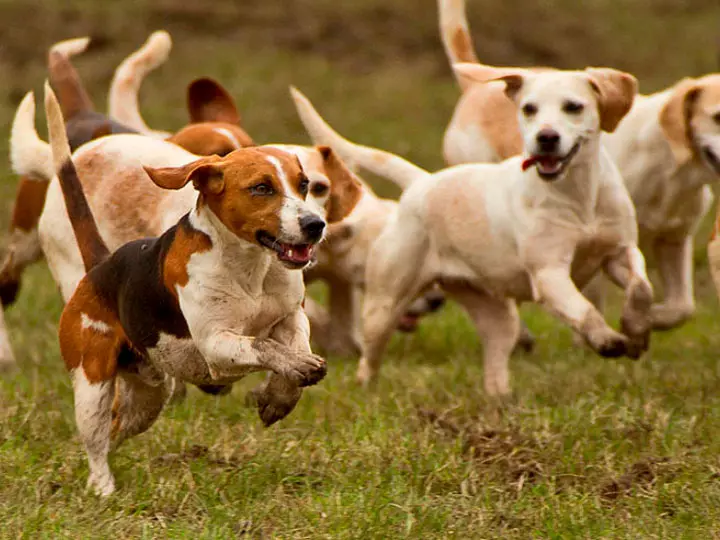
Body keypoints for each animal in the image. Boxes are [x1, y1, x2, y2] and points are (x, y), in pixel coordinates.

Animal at [40, 82, 360, 496]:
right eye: (261, 188)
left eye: (304, 185)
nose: (315, 225)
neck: (250, 267)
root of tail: (101, 266)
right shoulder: (216, 345)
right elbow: (264, 345)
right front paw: (292, 368)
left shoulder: (289, 317)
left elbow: (293, 343)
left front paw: (281, 394)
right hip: (91, 383)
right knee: (96, 444)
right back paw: (103, 489)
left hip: (148, 398)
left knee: (115, 428)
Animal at [296, 64, 652, 392]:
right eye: (529, 109)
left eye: (574, 106)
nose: (546, 138)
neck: (579, 195)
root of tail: (422, 182)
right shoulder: (549, 274)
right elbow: (584, 310)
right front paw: (606, 339)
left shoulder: (621, 252)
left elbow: (641, 288)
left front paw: (636, 332)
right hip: (385, 305)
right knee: (369, 357)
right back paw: (366, 387)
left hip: (498, 316)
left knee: (497, 360)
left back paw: (501, 400)